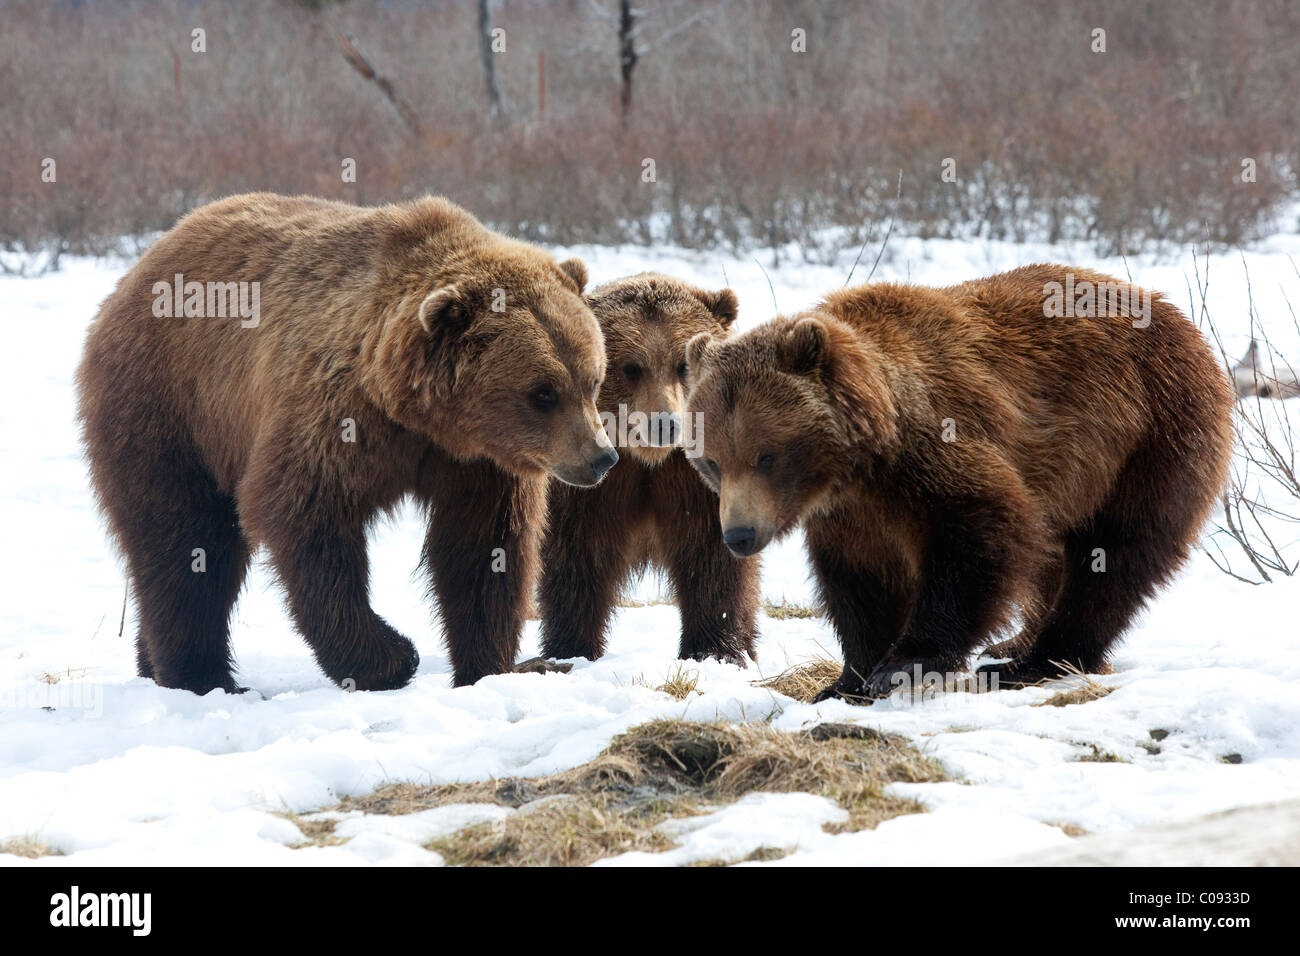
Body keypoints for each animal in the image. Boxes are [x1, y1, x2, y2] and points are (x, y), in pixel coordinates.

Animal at [76, 192, 615, 694]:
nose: (601, 458)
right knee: (186, 536)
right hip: (172, 407)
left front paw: (493, 666)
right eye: (542, 392)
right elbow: (305, 518)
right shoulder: (338, 416)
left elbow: (483, 547)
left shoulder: (480, 464)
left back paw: (153, 664)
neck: (425, 419)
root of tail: (141, 266)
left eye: (592, 379)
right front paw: (391, 658)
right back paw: (201, 676)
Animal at [538, 273, 761, 665]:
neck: (648, 463)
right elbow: (577, 554)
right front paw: (571, 647)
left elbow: (714, 558)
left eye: (682, 364)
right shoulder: (595, 485)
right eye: (631, 367)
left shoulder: (695, 481)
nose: (665, 424)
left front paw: (715, 648)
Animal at [682, 264, 1234, 700]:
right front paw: (847, 678)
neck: (861, 462)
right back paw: (1016, 643)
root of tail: (1174, 314)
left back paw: (1039, 658)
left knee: (1114, 554)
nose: (739, 535)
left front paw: (904, 663)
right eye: (711, 461)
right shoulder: (849, 516)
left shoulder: (937, 449)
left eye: (766, 456)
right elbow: (859, 581)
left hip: (1148, 436)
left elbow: (981, 529)